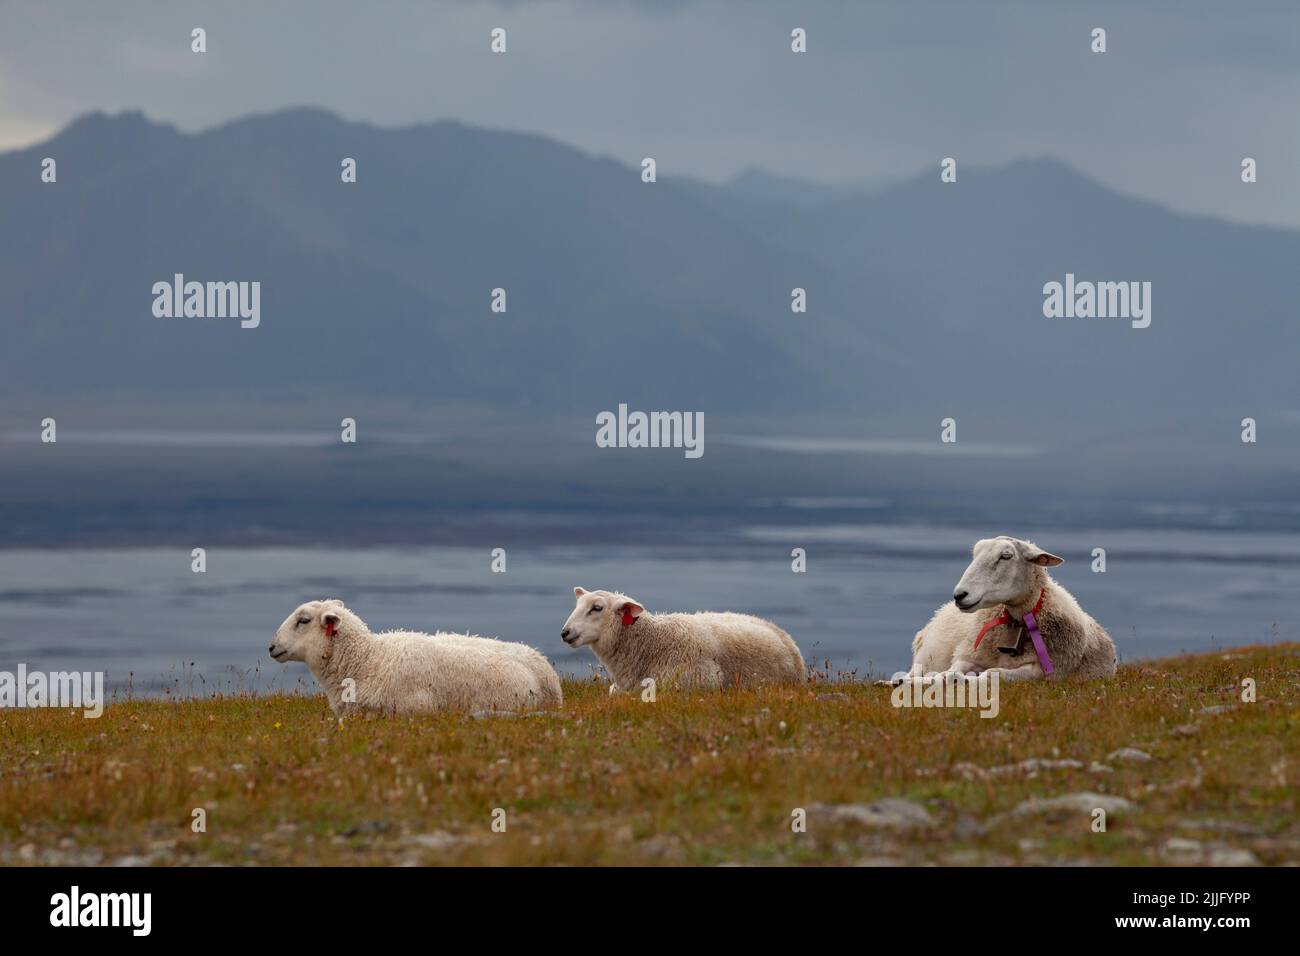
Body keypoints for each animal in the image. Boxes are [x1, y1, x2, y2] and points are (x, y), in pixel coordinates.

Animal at [894, 536, 1116, 684]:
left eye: (1006, 556)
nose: (959, 595)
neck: (1017, 621)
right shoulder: (969, 654)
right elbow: (950, 671)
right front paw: (941, 679)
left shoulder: (1042, 671)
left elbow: (994, 673)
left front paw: (966, 680)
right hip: (925, 656)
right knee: (916, 672)